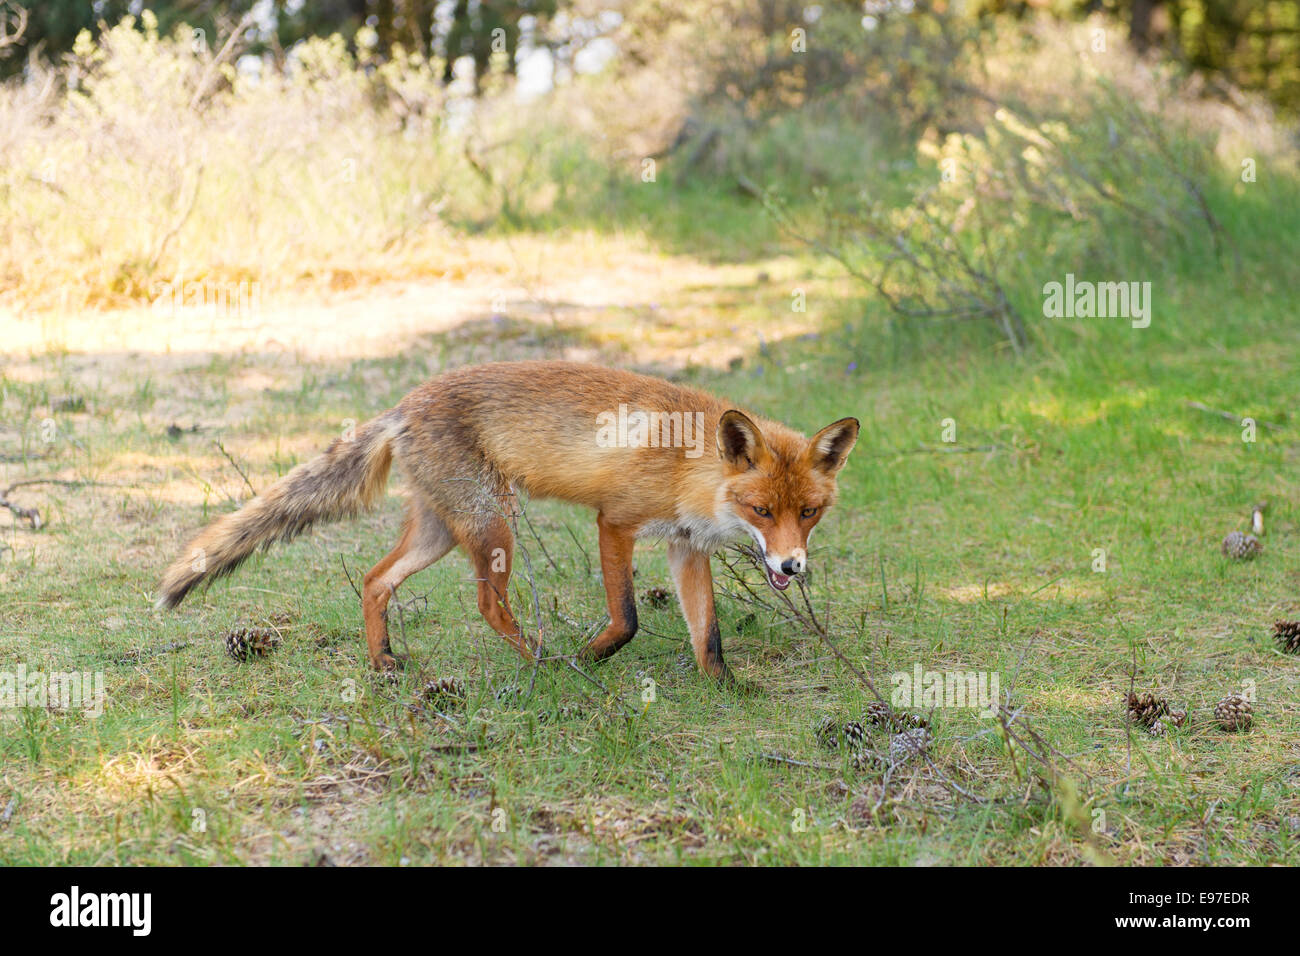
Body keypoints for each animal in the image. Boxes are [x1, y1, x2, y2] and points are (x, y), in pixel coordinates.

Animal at [156, 361, 859, 683]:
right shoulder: (615, 522)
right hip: (494, 526)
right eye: (761, 510)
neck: (689, 467)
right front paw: (592, 656)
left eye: (809, 512)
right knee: (489, 606)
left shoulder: (687, 548)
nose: (792, 565)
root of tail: (402, 405)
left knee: (375, 580)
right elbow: (628, 619)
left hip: (443, 529)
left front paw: (725, 689)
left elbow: (706, 633)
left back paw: (383, 663)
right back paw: (544, 663)